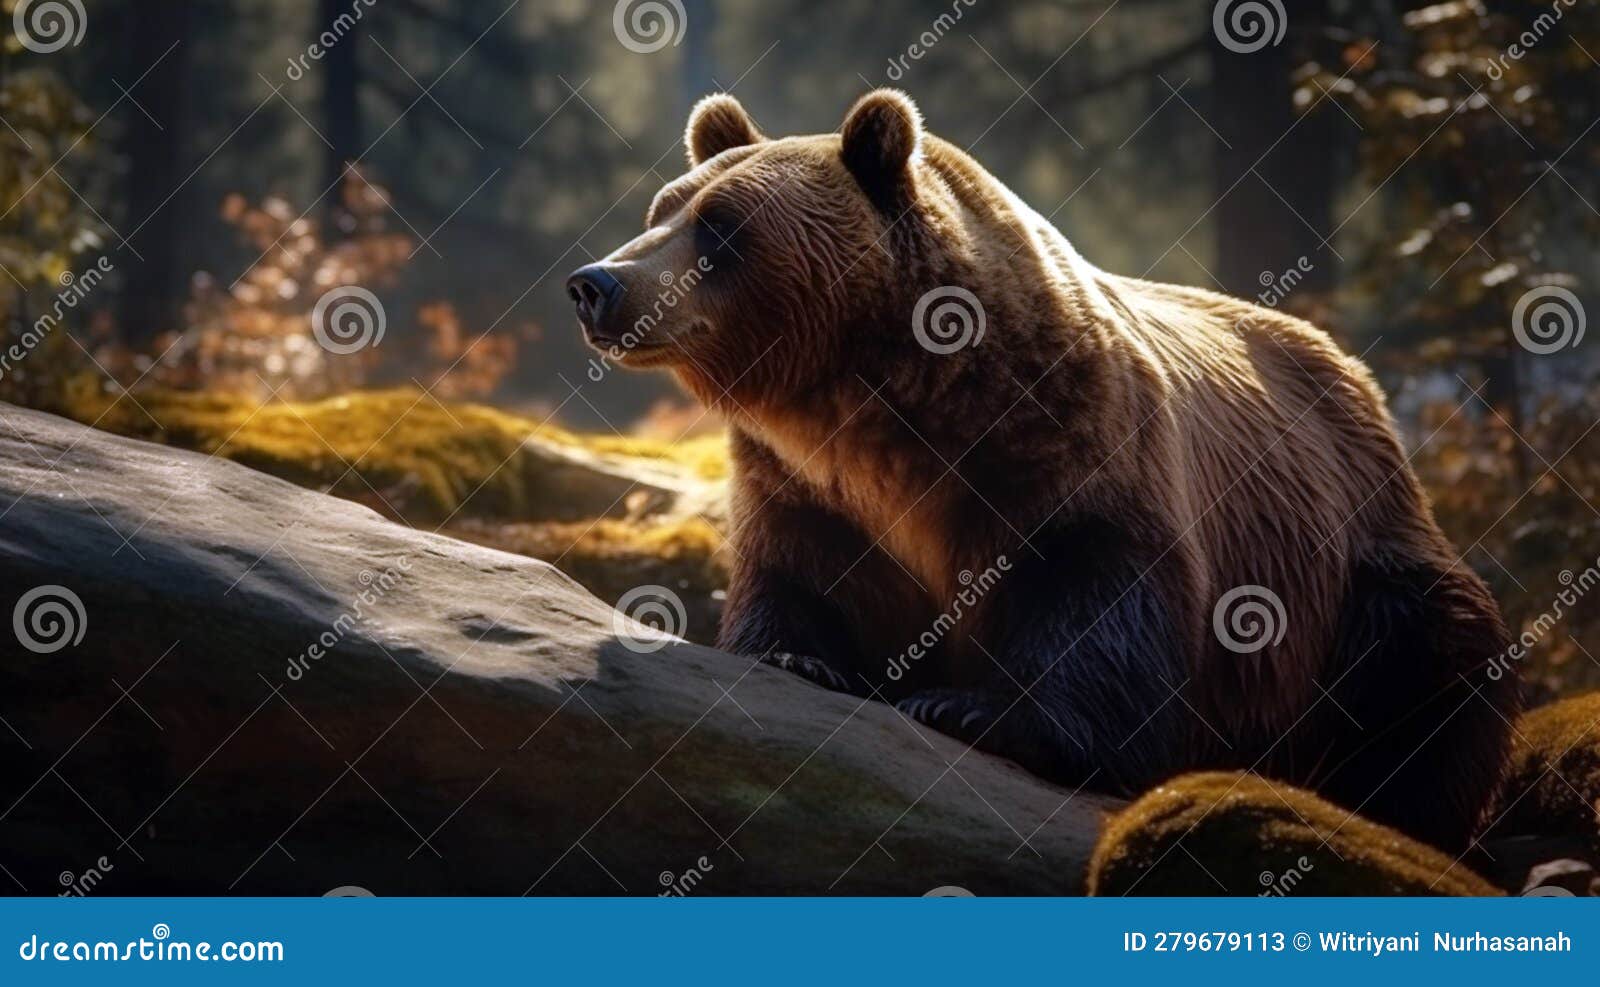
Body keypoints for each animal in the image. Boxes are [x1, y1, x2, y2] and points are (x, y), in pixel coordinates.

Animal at [567, 89, 1519, 852]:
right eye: (662, 209)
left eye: (721, 225)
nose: (596, 282)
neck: (874, 404)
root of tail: (1357, 375)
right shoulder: (809, 487)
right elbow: (796, 579)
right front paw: (804, 659)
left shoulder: (1069, 451)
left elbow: (1093, 596)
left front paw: (972, 709)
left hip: (1355, 551)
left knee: (1429, 660)